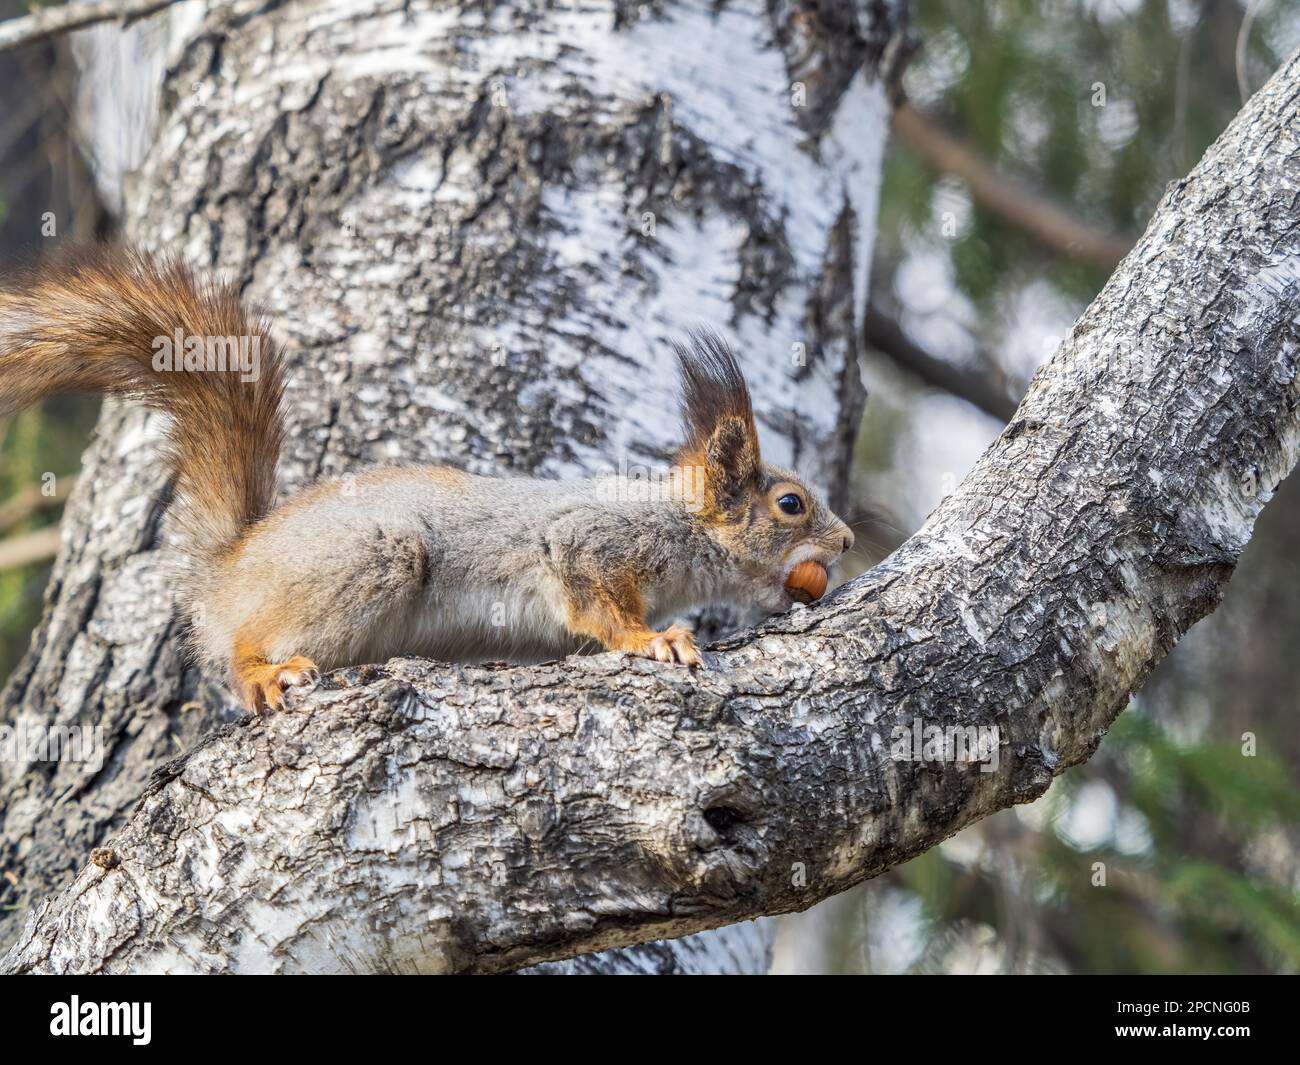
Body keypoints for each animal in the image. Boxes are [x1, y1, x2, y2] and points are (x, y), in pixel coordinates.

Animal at [0, 248, 854, 712]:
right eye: (790, 503)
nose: (846, 540)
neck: (678, 527)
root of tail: (230, 566)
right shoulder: (589, 539)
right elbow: (598, 603)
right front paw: (655, 639)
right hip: (373, 557)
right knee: (241, 647)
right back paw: (263, 674)